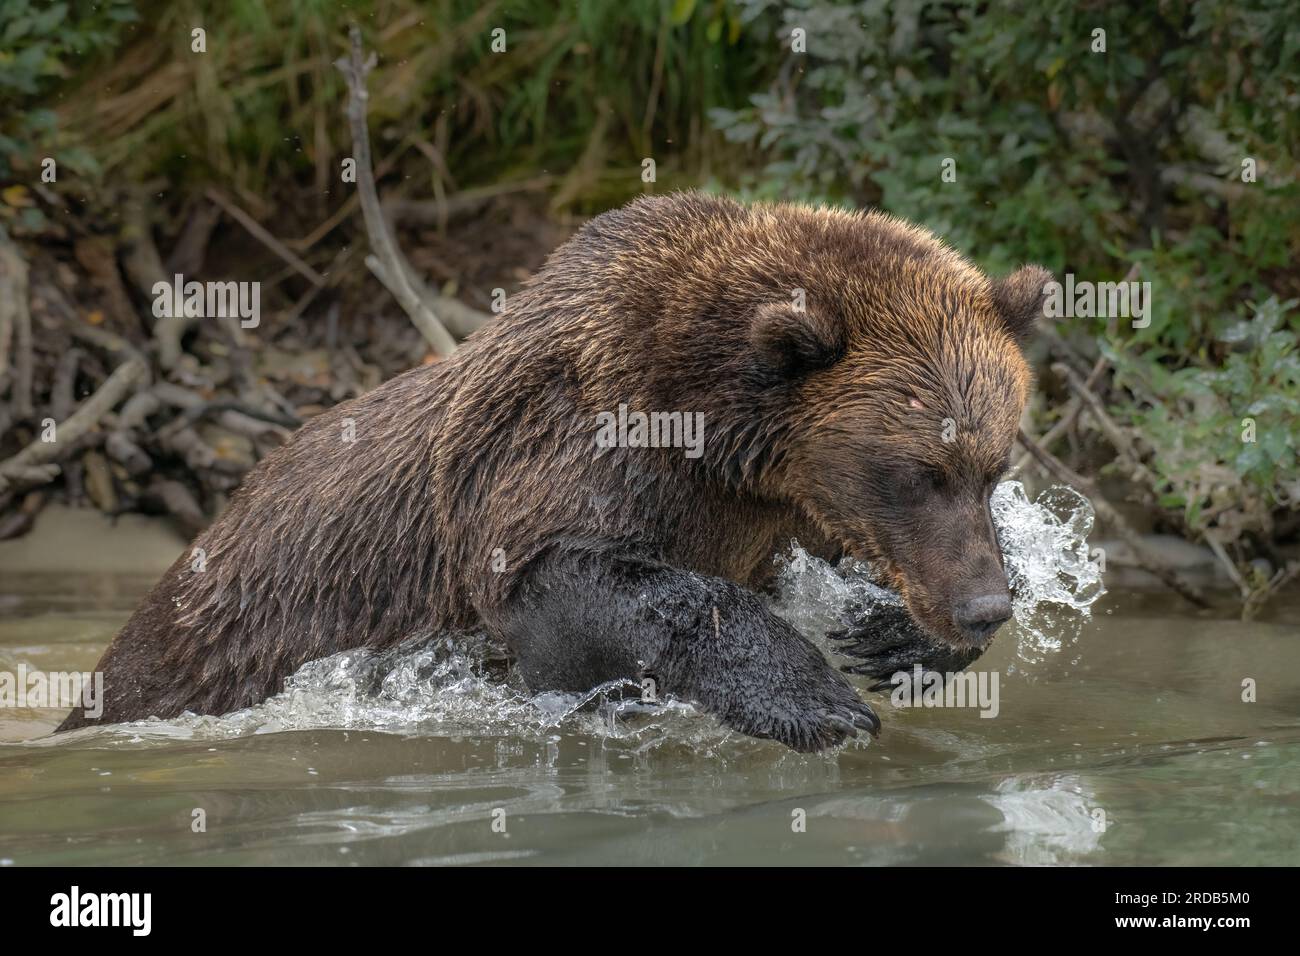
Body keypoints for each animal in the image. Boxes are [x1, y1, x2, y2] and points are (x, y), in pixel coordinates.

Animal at [58, 192, 1047, 752]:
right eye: (914, 470)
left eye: (992, 465)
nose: (982, 607)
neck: (718, 438)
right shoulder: (571, 446)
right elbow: (574, 580)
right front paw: (815, 701)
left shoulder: (778, 502)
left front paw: (893, 638)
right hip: (220, 639)